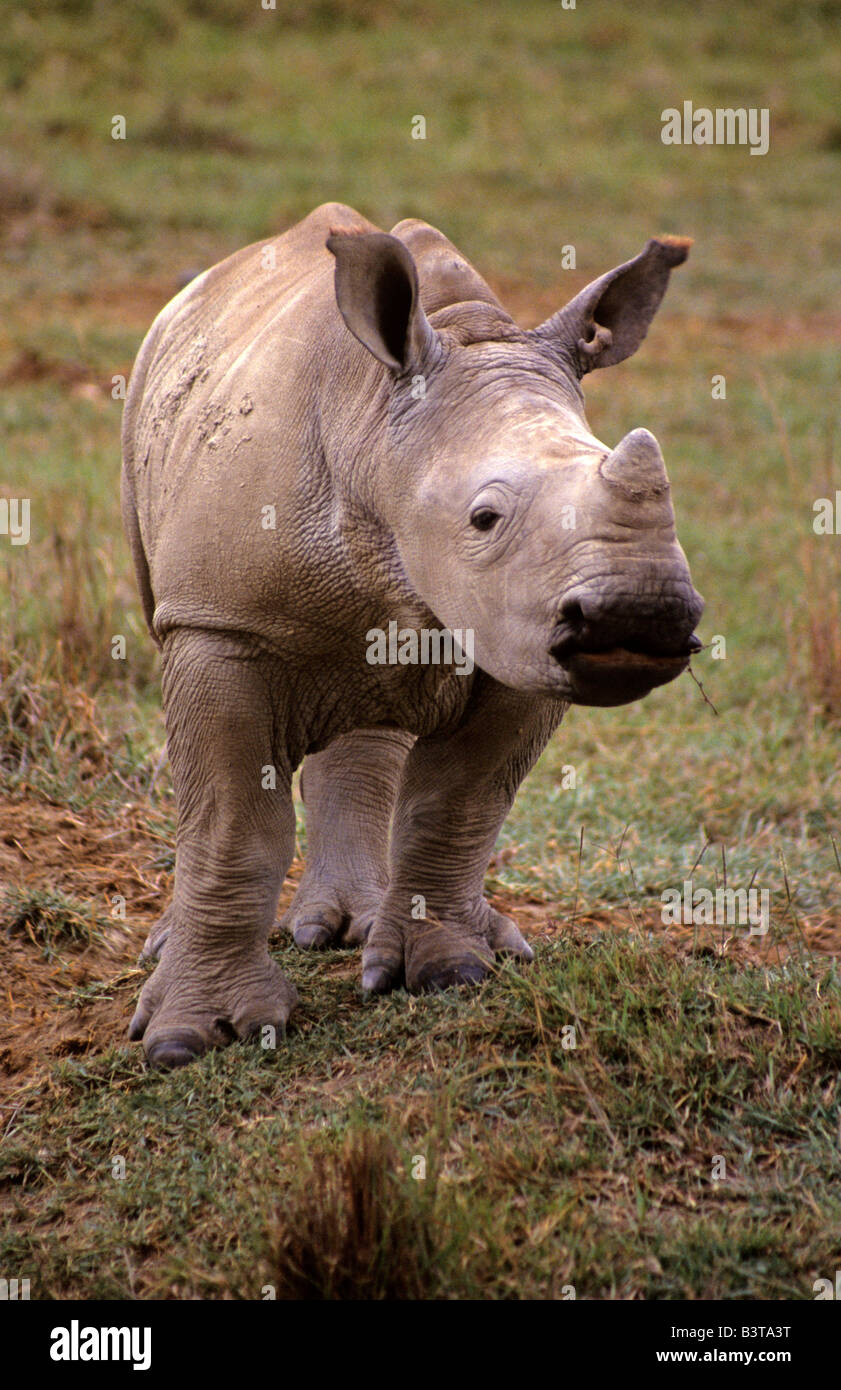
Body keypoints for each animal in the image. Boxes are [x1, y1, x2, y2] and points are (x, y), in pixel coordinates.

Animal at [121, 202, 703, 1068]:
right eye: (484, 517)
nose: (639, 614)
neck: (379, 433)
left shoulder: (516, 637)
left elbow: (458, 804)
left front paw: (450, 970)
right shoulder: (220, 623)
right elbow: (233, 822)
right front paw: (193, 1039)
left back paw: (394, 930)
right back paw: (174, 946)